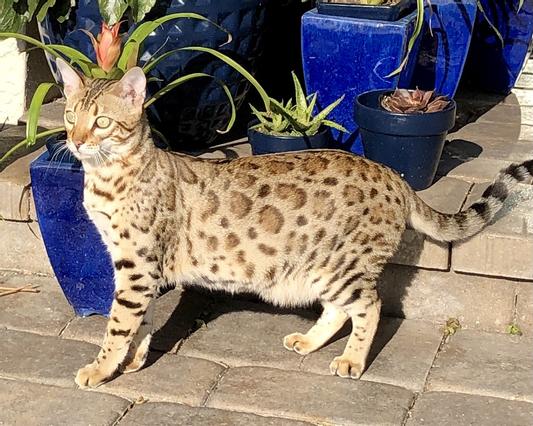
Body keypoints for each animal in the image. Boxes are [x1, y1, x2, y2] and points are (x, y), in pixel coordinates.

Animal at [55, 60, 532, 390]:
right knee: (341, 309)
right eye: (70, 116)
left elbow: (119, 324)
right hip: (323, 268)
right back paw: (309, 341)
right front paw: (133, 359)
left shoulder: (137, 266)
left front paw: (101, 367)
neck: (109, 177)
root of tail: (393, 175)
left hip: (341, 265)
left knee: (370, 305)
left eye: (101, 122)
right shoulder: (143, 269)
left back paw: (353, 360)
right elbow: (141, 320)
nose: (75, 141)